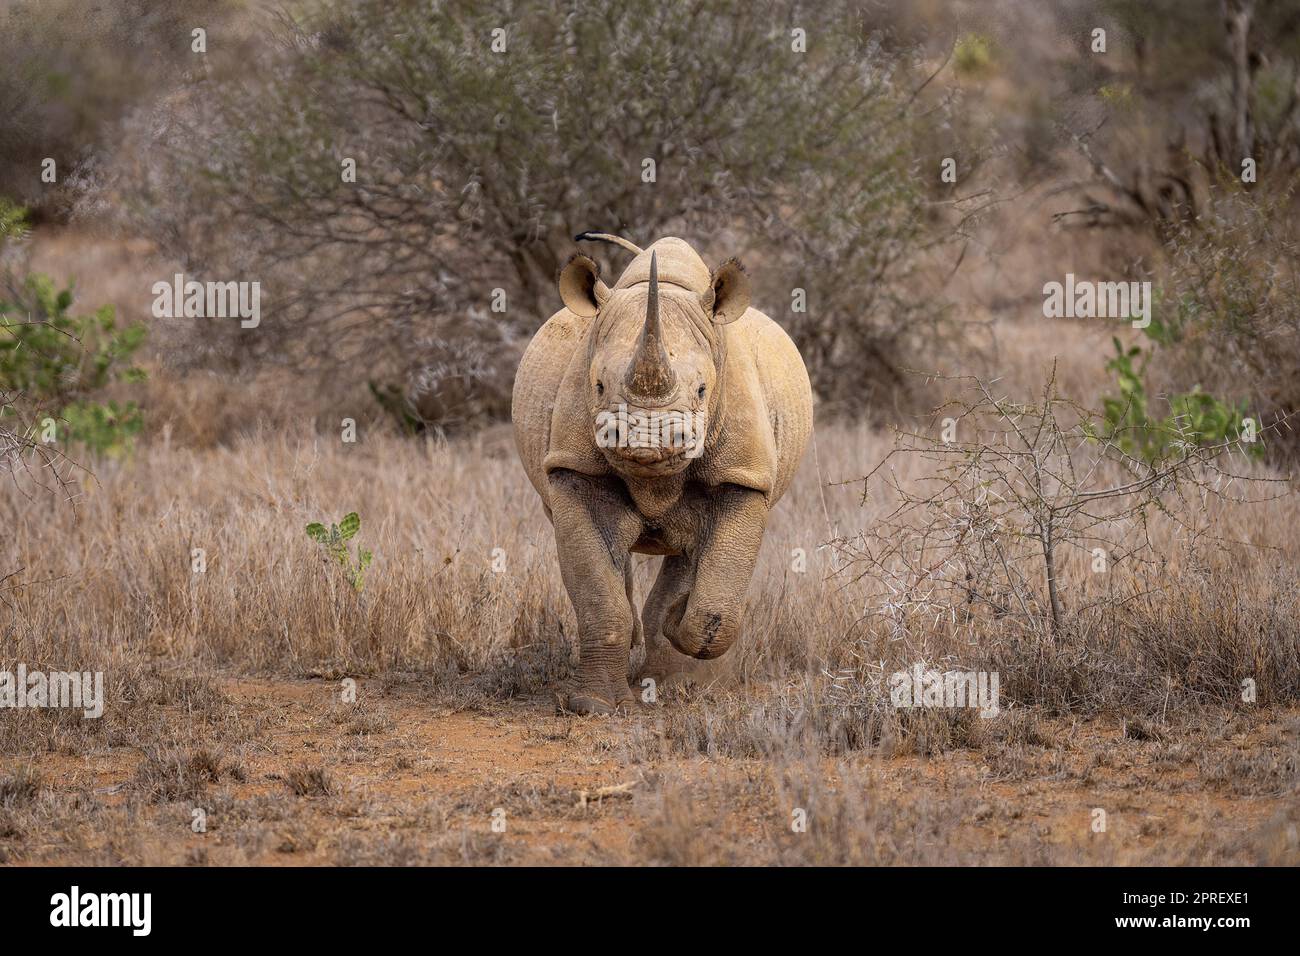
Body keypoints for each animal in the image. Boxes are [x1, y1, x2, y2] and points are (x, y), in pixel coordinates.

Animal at [512, 233, 813, 714]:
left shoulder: (743, 476)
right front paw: (596, 707)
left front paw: (677, 618)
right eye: (598, 386)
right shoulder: (574, 468)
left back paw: (672, 678)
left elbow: (714, 601)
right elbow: (598, 593)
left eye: (703, 390)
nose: (646, 441)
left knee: (690, 558)